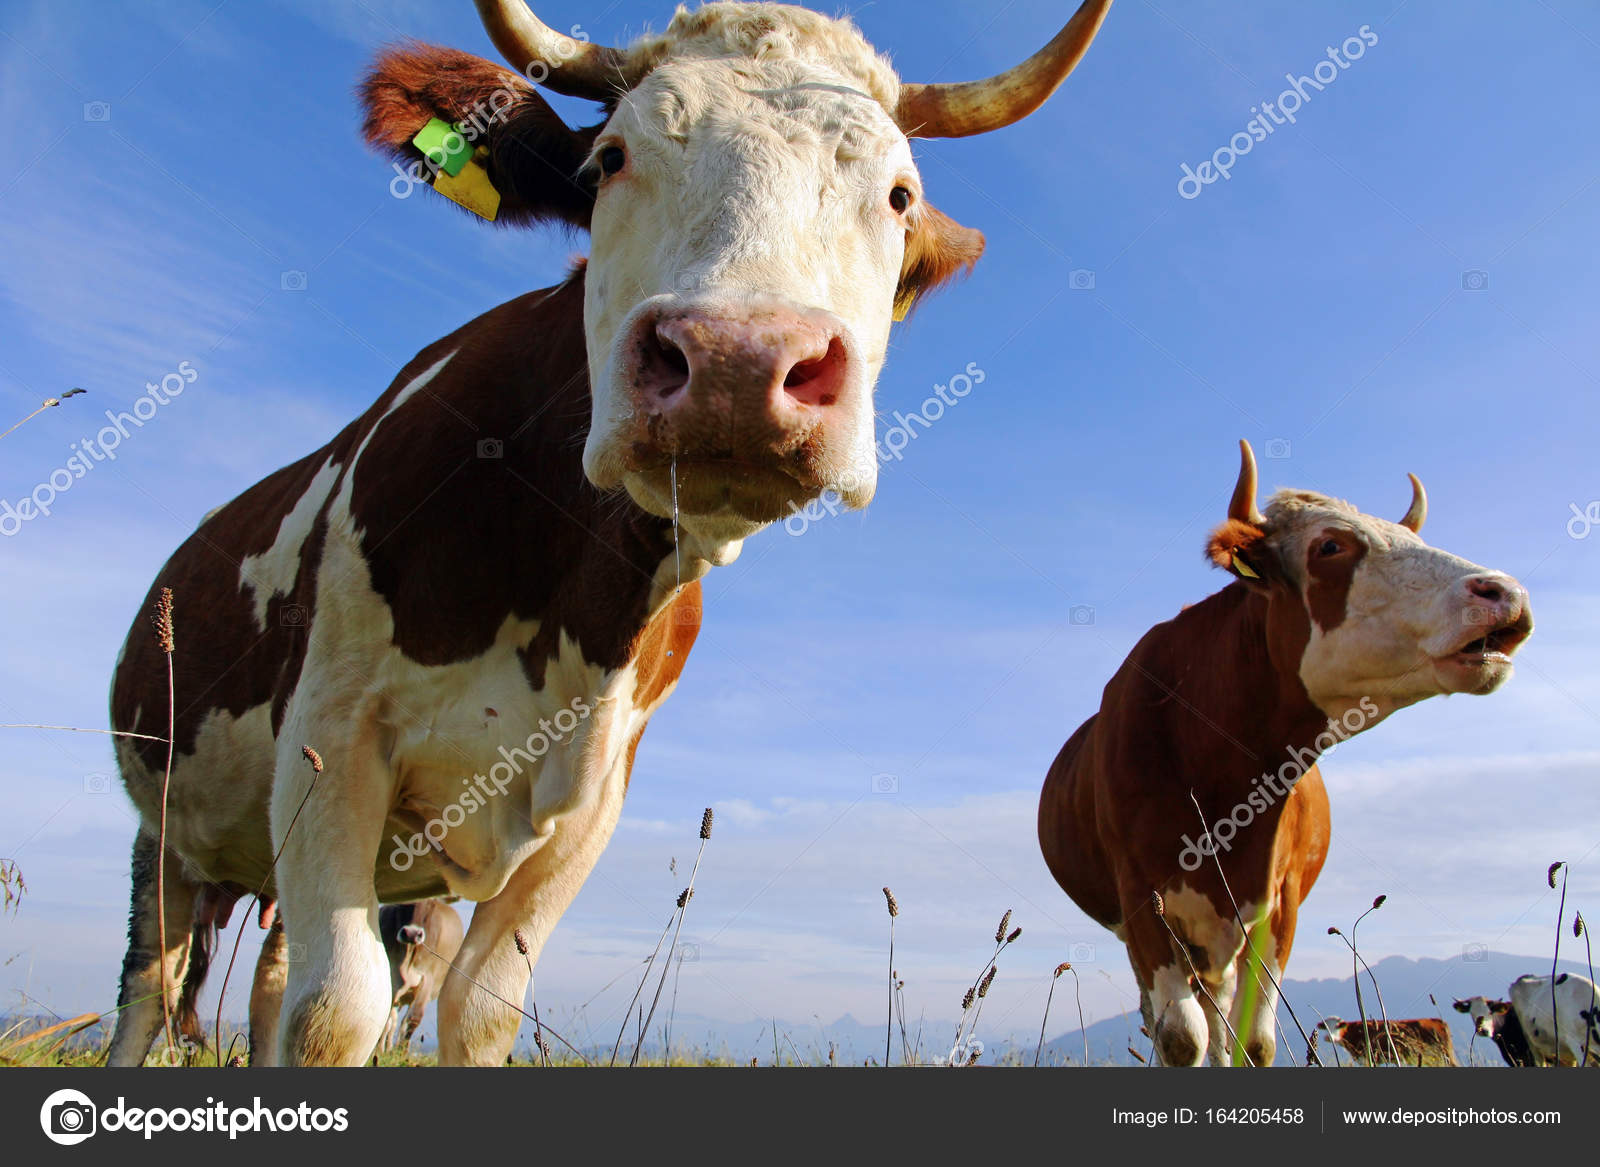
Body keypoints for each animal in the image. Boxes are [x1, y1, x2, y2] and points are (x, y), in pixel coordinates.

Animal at [378, 901, 466, 1055]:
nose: (411, 934)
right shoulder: (391, 974)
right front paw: (378, 1050)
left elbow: (413, 1018)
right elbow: (386, 1016)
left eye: (431, 903)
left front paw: (401, 1052)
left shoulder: (427, 979)